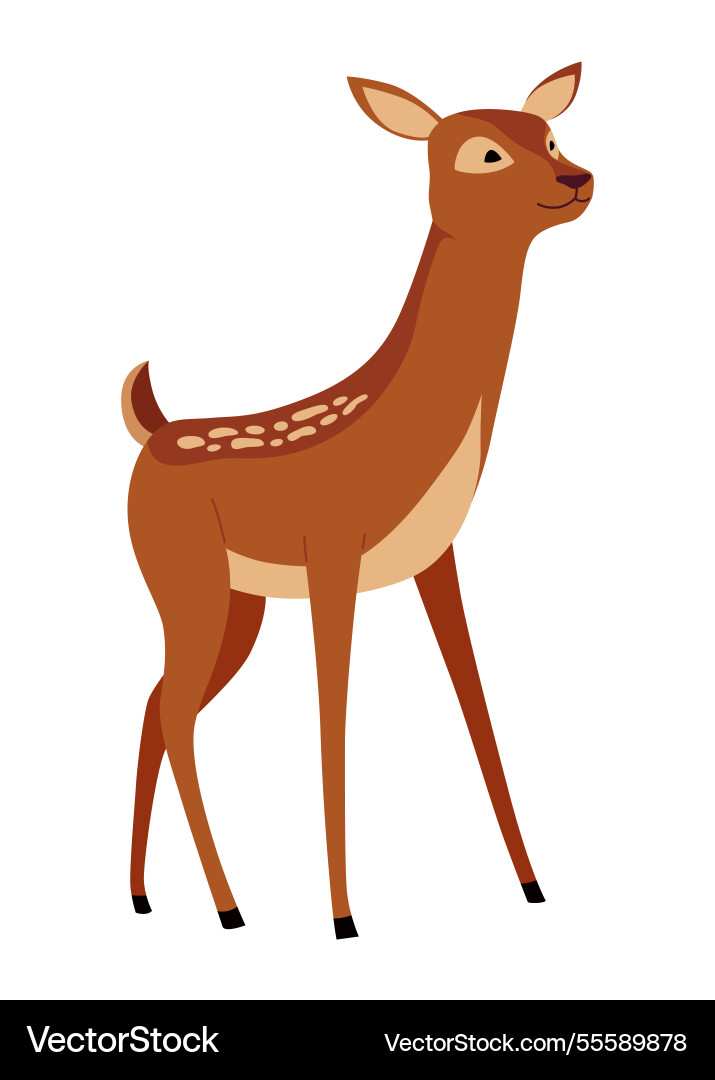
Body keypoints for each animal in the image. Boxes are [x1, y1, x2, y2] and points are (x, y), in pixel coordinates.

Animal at [123, 63, 593, 939]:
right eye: (483, 153)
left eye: (549, 137)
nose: (576, 179)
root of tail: (150, 433)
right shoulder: (332, 554)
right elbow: (330, 720)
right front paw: (343, 919)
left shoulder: (435, 560)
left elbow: (477, 706)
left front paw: (531, 884)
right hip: (186, 581)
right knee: (173, 712)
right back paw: (229, 907)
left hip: (234, 603)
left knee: (159, 705)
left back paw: (147, 897)